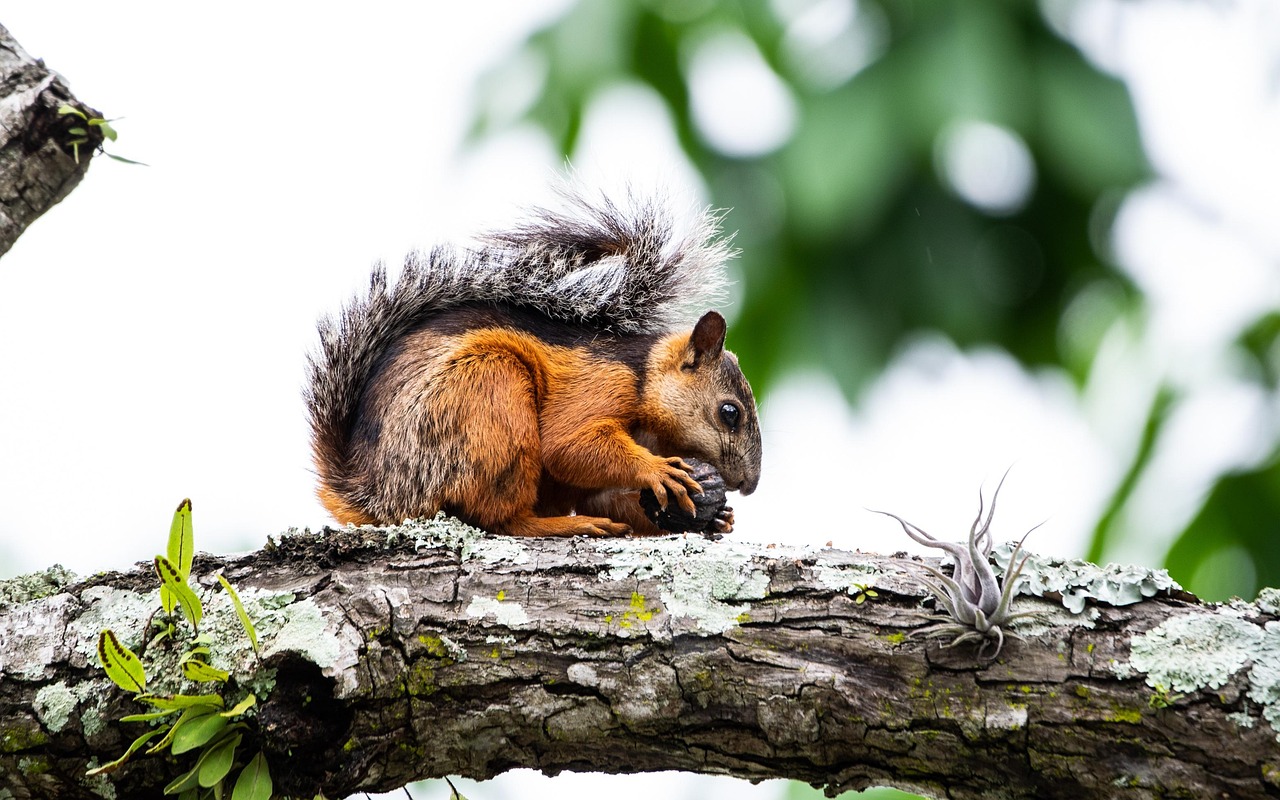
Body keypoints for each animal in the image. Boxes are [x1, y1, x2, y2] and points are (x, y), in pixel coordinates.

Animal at [305, 189, 762, 537]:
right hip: (489, 393)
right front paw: (655, 470)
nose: (749, 485)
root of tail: (376, 493)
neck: (644, 379)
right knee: (501, 520)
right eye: (730, 412)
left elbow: (604, 496)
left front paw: (718, 518)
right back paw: (563, 525)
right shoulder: (603, 383)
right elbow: (569, 444)